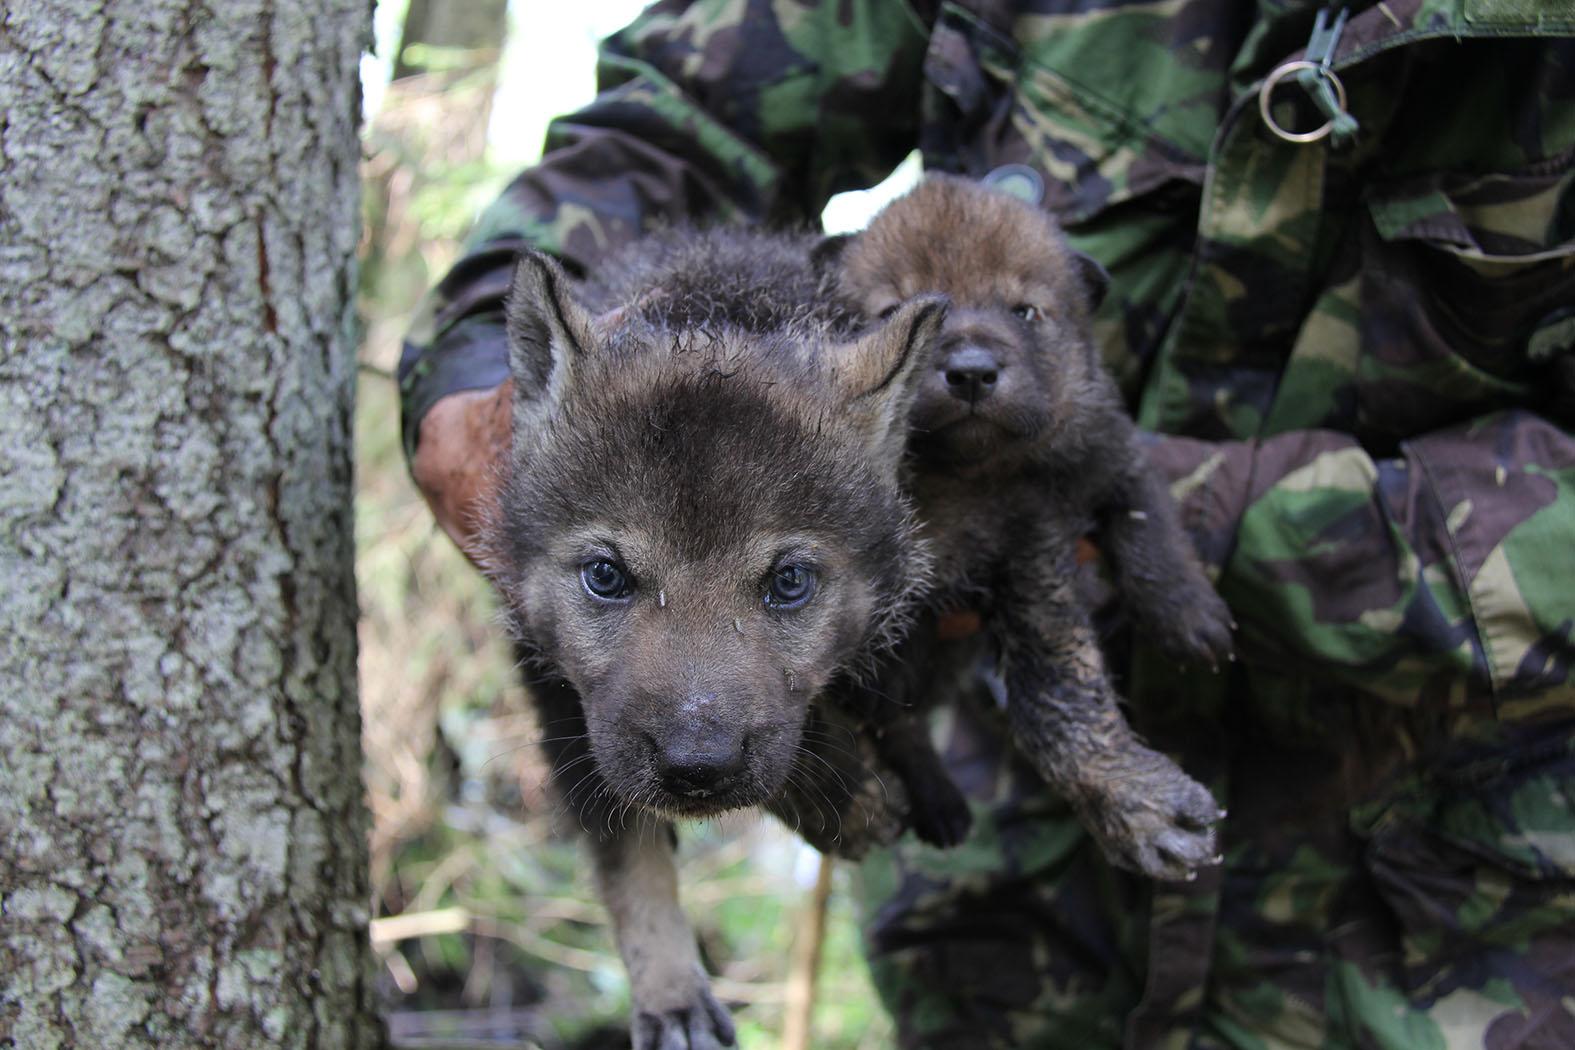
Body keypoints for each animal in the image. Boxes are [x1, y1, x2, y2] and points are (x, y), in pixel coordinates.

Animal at [479, 227, 944, 1050]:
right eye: (606, 575)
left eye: (788, 582)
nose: (696, 768)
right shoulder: (562, 704)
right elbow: (629, 862)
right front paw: (672, 993)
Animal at [826, 174, 1236, 879]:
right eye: (892, 310)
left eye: (1025, 312)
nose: (970, 371)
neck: (973, 472)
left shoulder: (1098, 469)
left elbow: (1147, 528)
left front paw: (1190, 616)